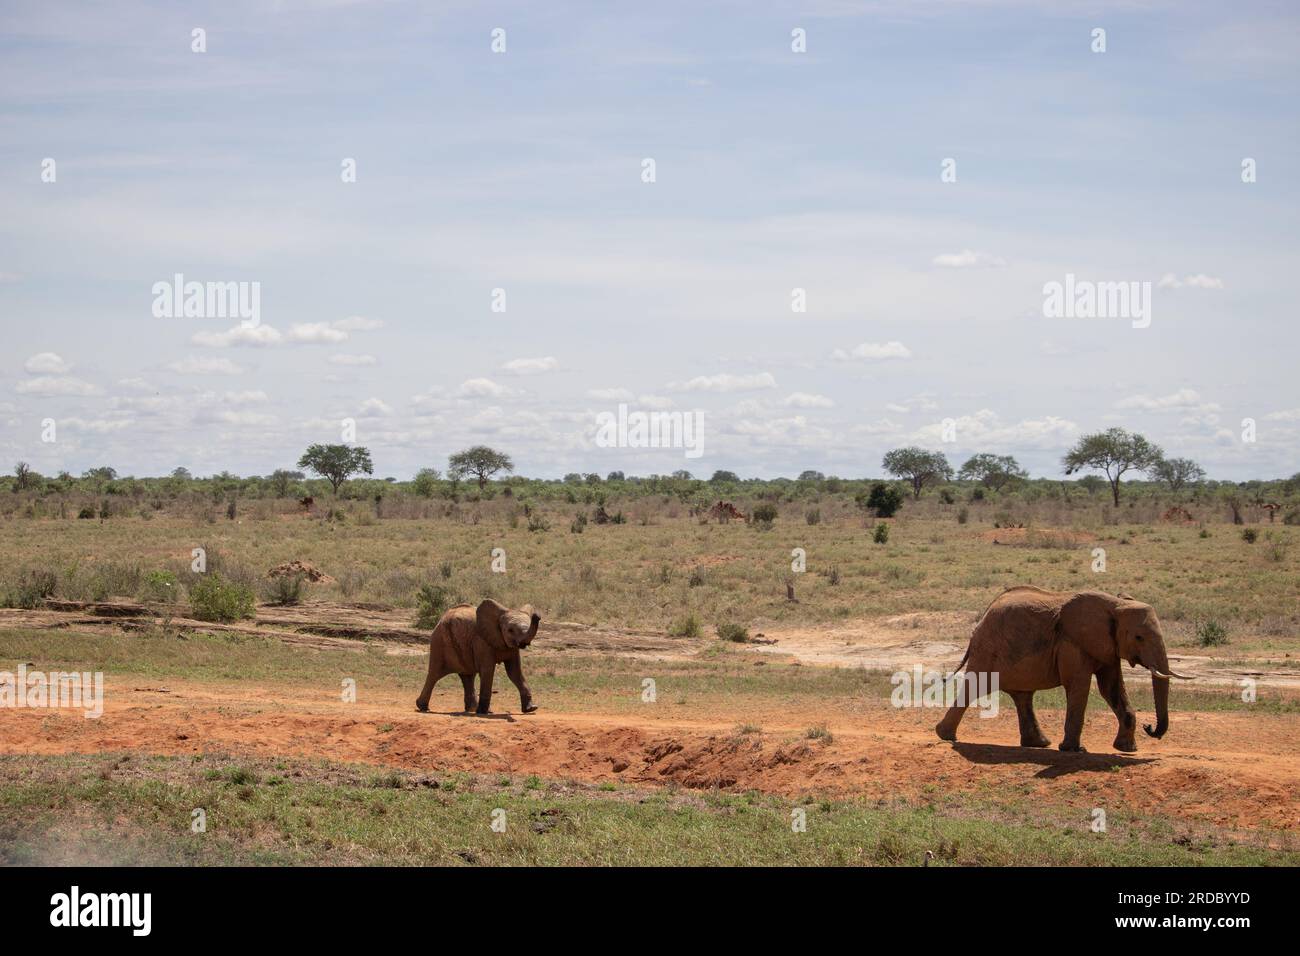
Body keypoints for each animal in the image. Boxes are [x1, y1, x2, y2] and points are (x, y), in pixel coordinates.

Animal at [935, 586, 1190, 753]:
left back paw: (1039, 744)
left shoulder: (1107, 646)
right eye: (1139, 637)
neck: (1114, 604)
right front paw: (1073, 750)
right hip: (988, 649)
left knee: (1022, 696)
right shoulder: (1072, 643)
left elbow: (1111, 688)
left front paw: (1127, 749)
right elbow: (1079, 685)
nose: (1150, 727)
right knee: (976, 686)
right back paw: (944, 735)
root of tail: (983, 618)